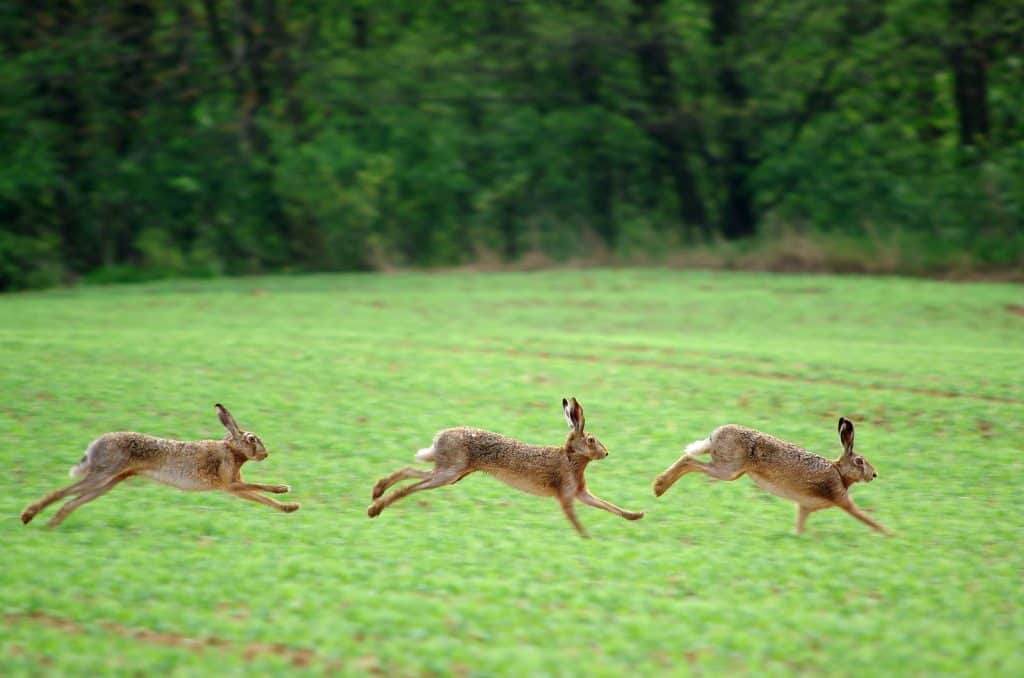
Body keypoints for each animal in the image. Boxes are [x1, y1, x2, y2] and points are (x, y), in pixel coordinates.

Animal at [20, 404, 299, 527]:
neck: (230, 449)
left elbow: (262, 499)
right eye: (252, 439)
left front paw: (291, 508)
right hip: (103, 474)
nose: (266, 454)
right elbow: (261, 488)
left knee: (72, 502)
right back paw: (28, 517)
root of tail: (95, 445)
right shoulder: (229, 483)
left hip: (108, 482)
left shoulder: (234, 487)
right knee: (62, 493)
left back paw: (49, 527)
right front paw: (284, 488)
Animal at [368, 397, 644, 538]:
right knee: (413, 486)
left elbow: (606, 505)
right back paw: (375, 509)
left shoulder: (581, 493)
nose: (606, 453)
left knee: (410, 472)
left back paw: (376, 492)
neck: (571, 457)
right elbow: (574, 517)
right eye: (591, 440)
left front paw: (636, 516)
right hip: (450, 472)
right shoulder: (566, 495)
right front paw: (586, 538)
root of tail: (440, 437)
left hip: (452, 472)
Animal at [653, 417, 889, 535]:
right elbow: (865, 518)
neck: (839, 472)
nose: (874, 474)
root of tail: (714, 435)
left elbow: (800, 523)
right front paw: (890, 535)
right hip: (728, 469)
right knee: (688, 461)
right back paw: (658, 487)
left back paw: (658, 487)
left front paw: (798, 537)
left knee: (688, 460)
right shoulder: (842, 499)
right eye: (860, 461)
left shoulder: (805, 506)